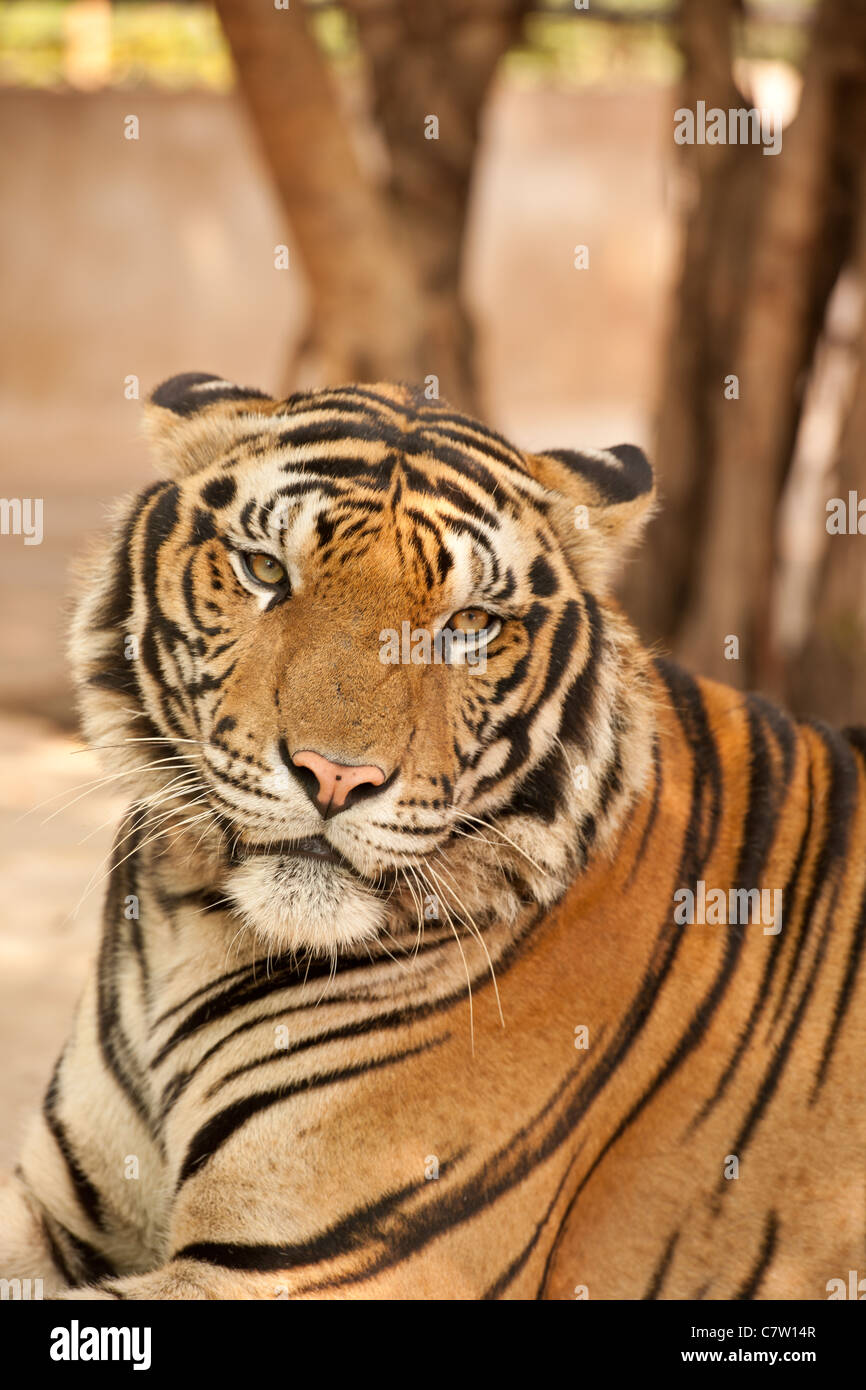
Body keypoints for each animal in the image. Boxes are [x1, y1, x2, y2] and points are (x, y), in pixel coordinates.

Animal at [1, 373, 864, 1301]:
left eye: (471, 623)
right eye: (265, 570)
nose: (334, 777)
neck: (191, 929)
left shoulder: (308, 1263)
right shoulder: (59, 1200)